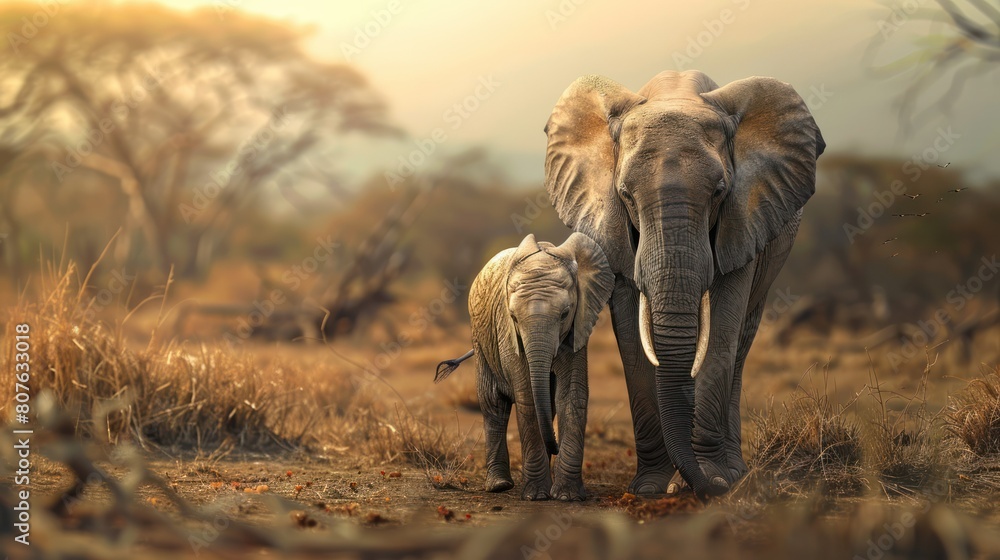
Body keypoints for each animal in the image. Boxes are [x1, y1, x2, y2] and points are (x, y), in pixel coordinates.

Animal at [435, 232, 615, 501]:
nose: (556, 445)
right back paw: (499, 485)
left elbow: (570, 396)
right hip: (480, 338)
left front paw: (567, 496)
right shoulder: (507, 332)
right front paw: (537, 496)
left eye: (565, 314)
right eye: (514, 317)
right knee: (493, 404)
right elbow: (527, 399)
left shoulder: (579, 326)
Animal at [542, 70, 825, 498]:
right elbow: (633, 339)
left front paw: (716, 479)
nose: (701, 486)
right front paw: (649, 488)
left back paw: (733, 471)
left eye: (720, 192)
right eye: (625, 195)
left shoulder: (742, 221)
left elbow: (721, 332)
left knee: (740, 345)